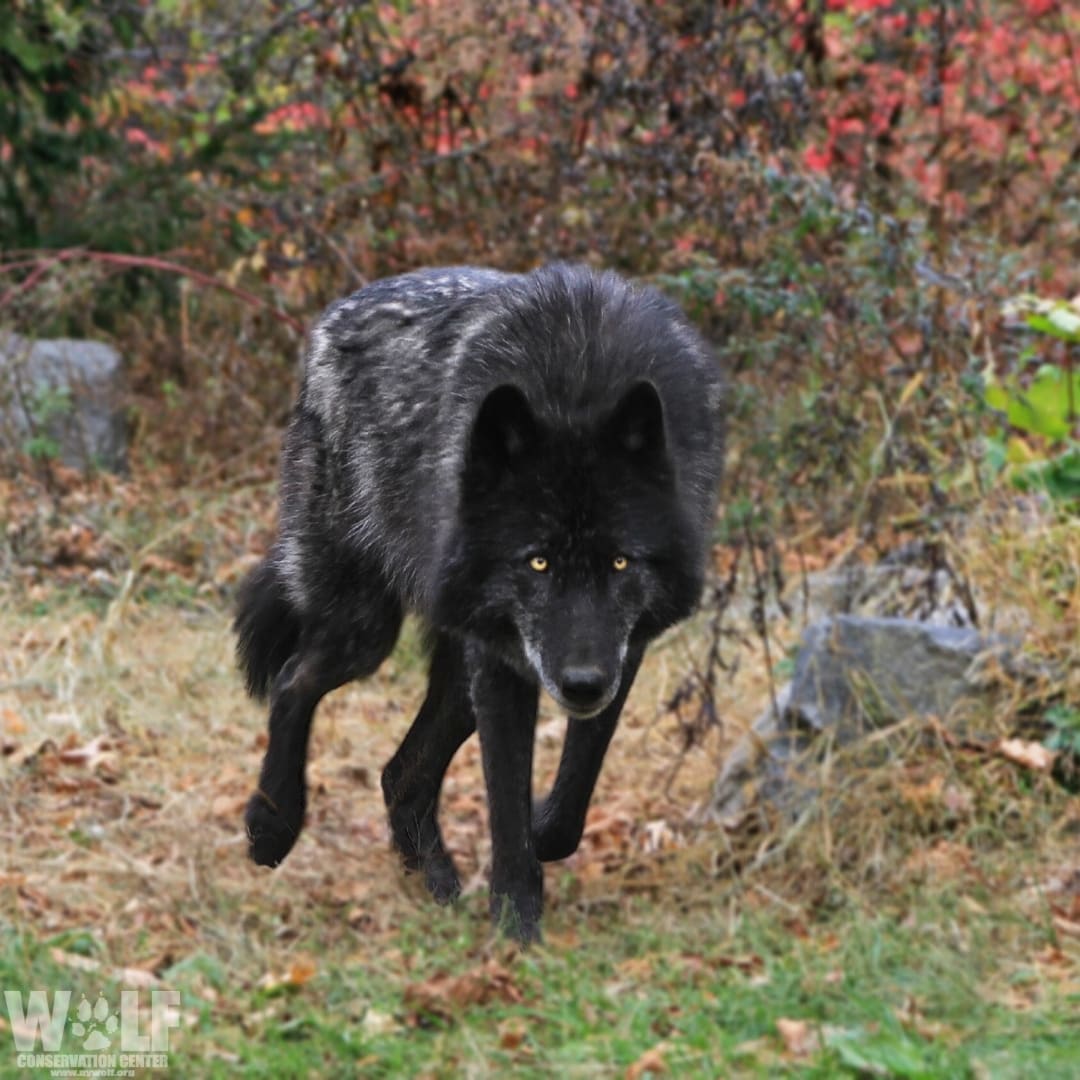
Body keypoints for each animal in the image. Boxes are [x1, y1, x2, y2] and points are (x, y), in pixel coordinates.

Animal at [236, 263, 725, 942]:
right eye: (537, 561)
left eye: (620, 562)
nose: (579, 684)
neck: (576, 385)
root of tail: (333, 318)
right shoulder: (505, 665)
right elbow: (506, 796)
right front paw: (517, 926)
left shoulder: (623, 651)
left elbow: (571, 795)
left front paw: (539, 846)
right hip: (365, 632)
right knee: (292, 682)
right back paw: (271, 827)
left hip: (457, 670)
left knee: (399, 772)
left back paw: (436, 881)